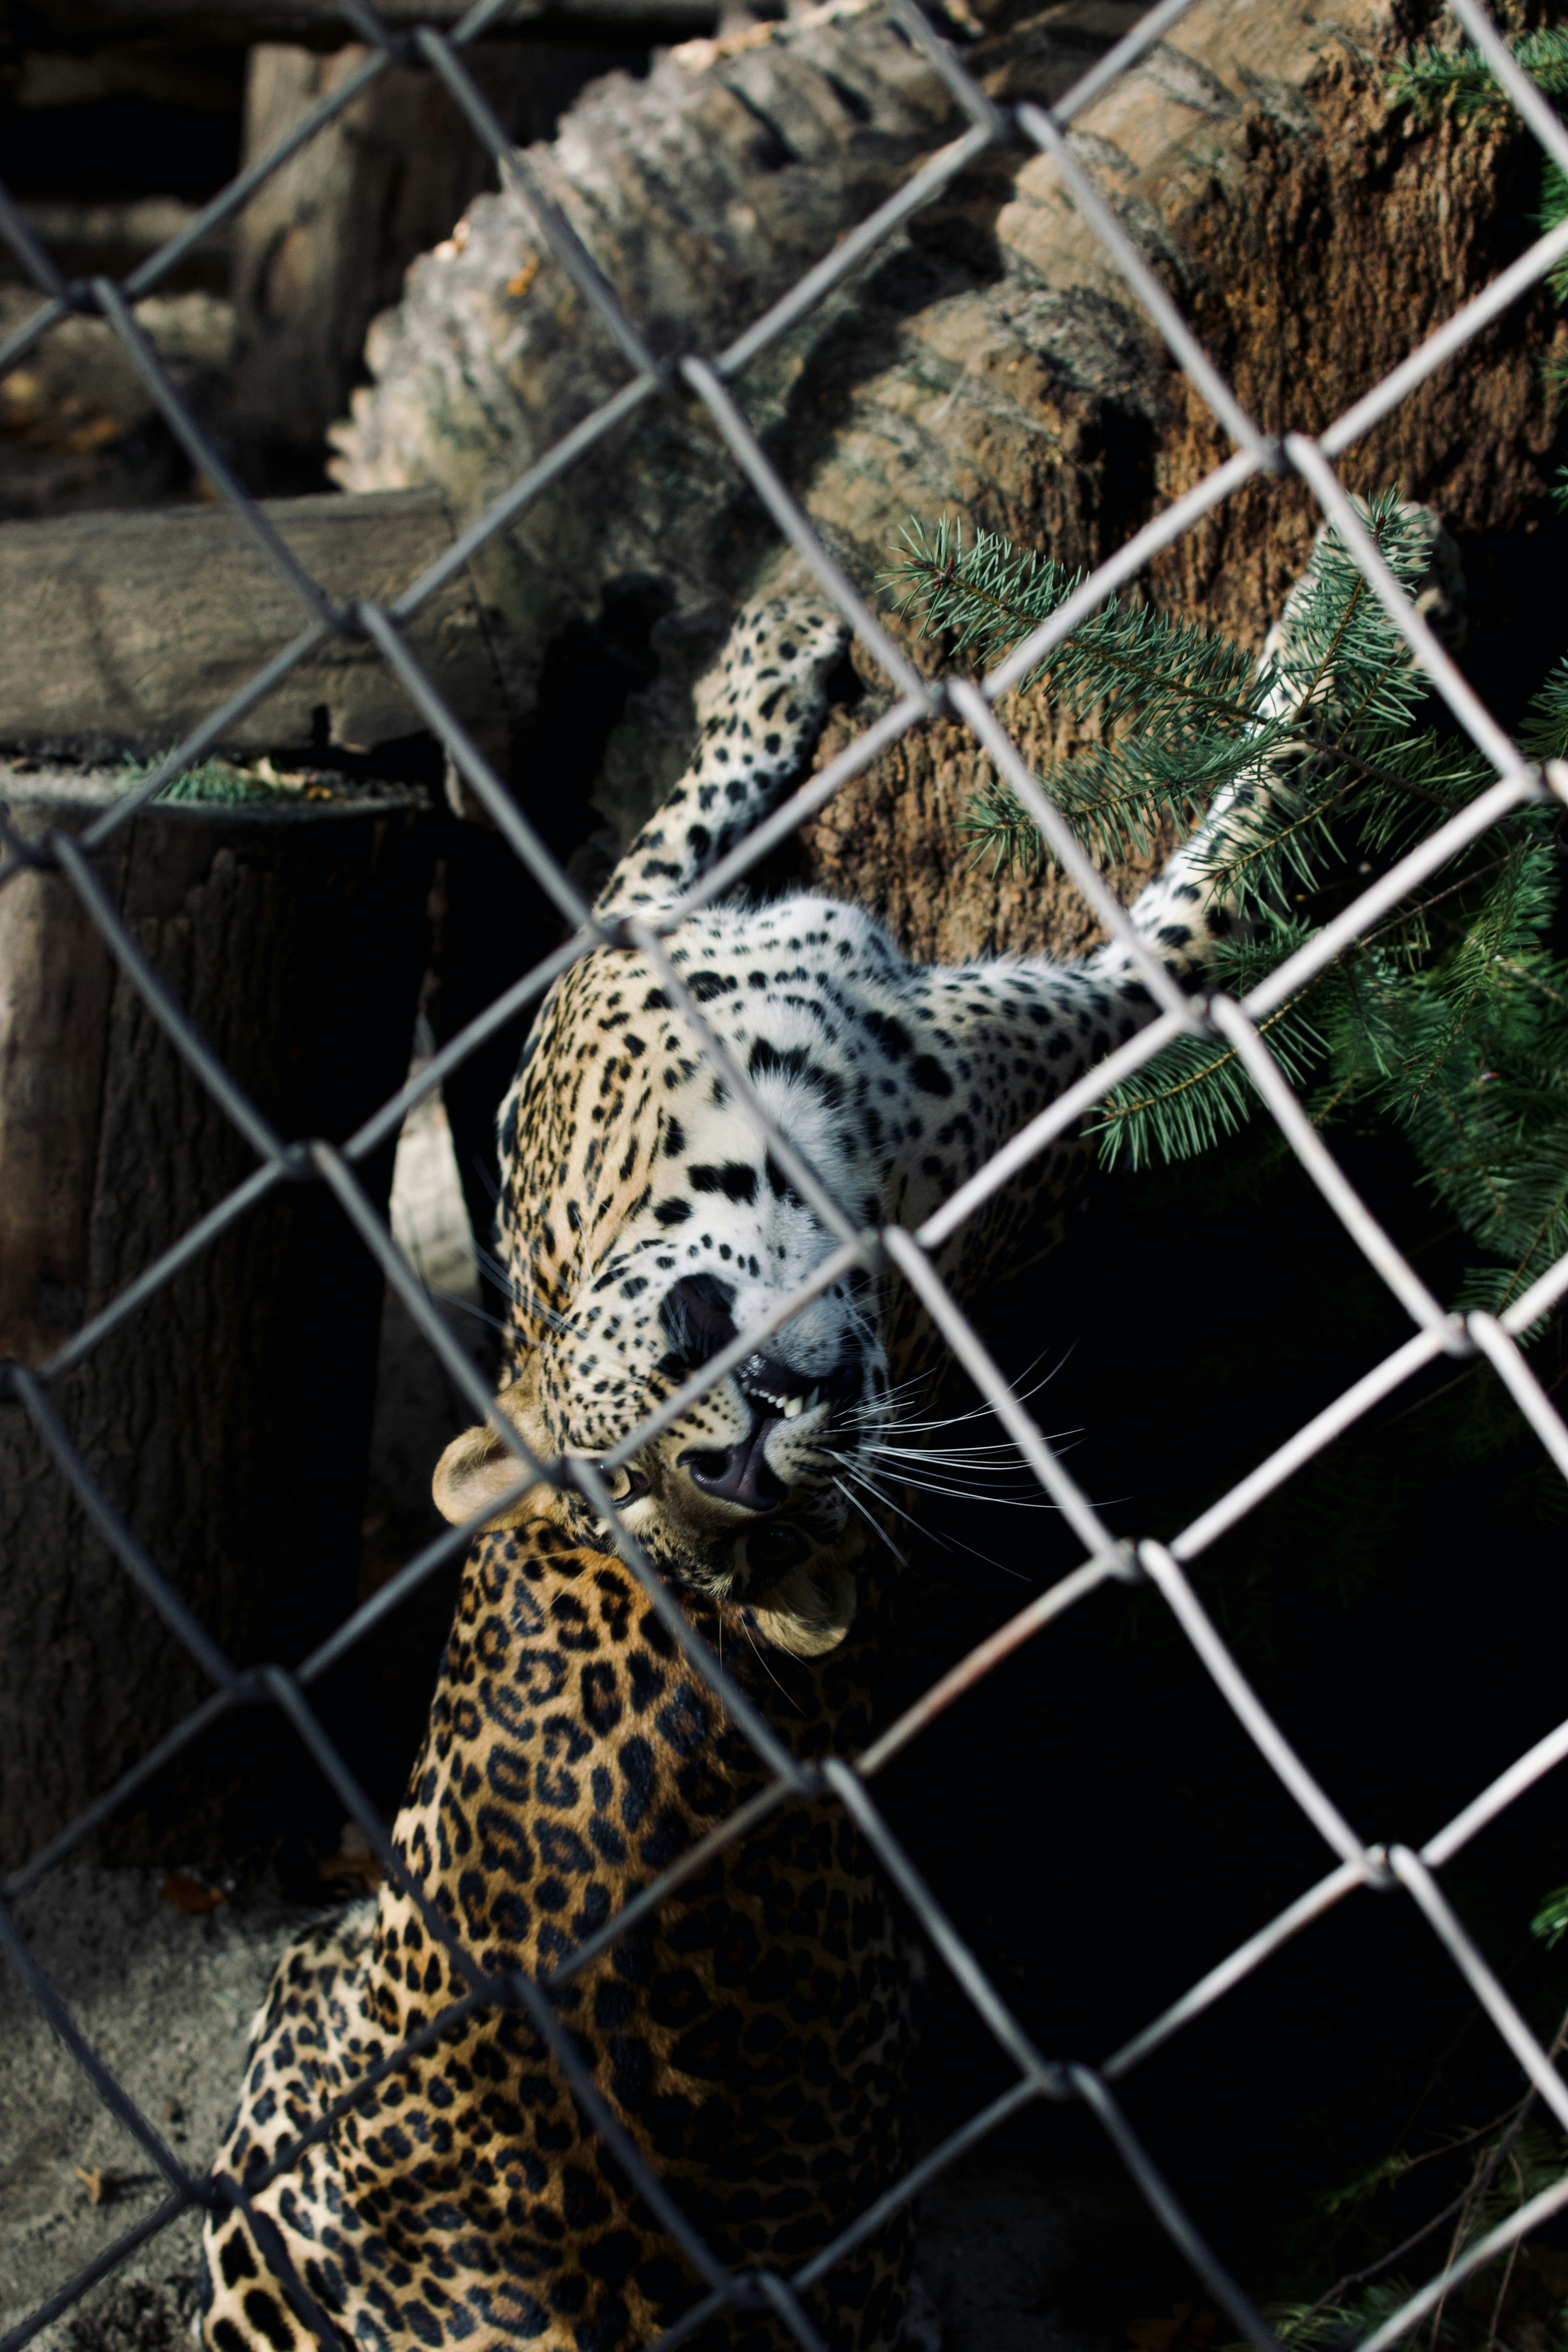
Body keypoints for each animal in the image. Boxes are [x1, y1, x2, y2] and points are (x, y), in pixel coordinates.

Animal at [201, 515, 1460, 2352]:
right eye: (703, 1502)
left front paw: (772, 648)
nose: (754, 1446)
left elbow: (665, 834)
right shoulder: (1051, 1021)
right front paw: (1360, 619)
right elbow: (1216, 860)